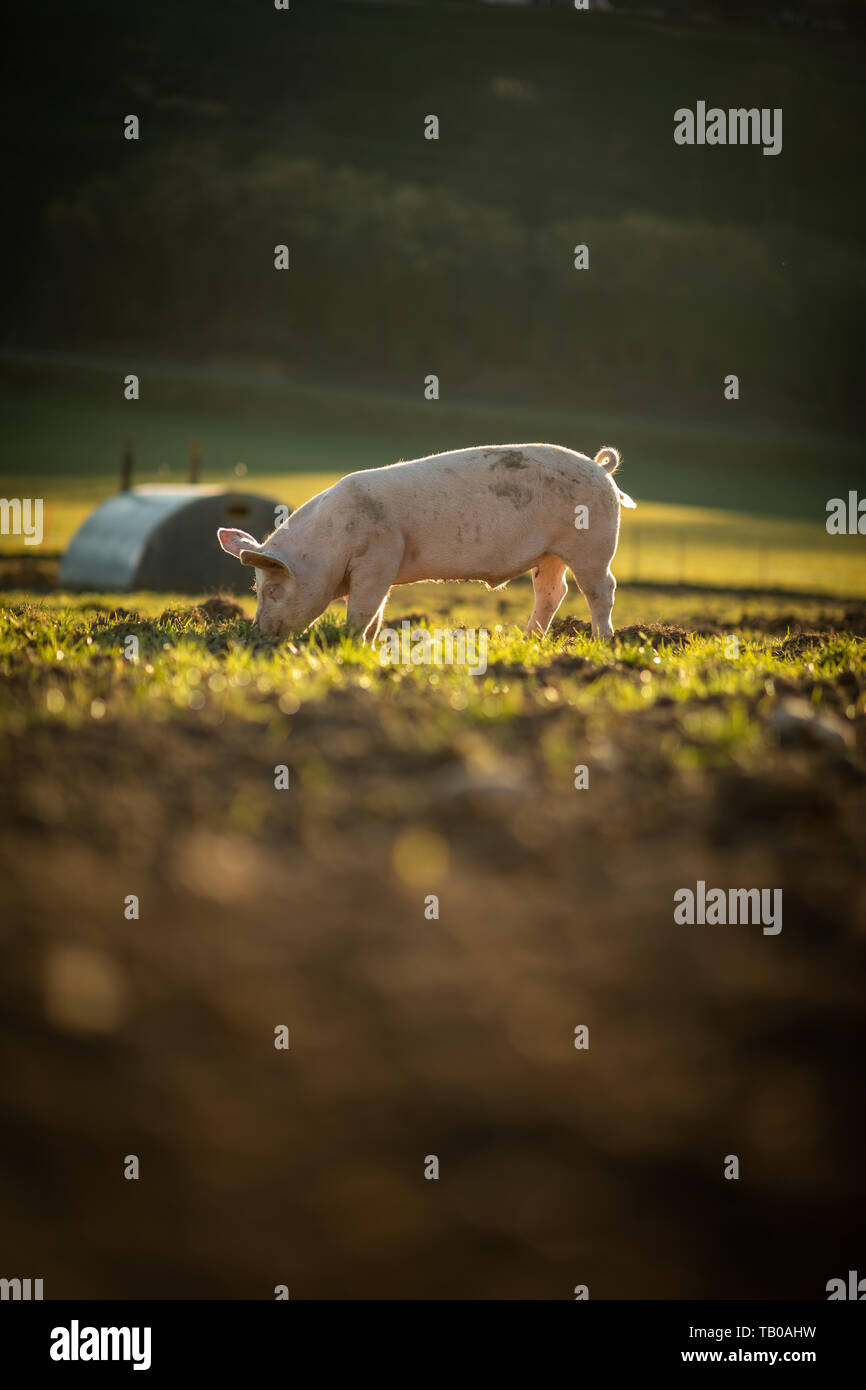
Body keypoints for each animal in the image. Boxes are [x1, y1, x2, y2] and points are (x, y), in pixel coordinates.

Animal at [217, 443, 636, 641]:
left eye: (273, 590)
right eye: (256, 589)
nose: (258, 634)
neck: (329, 543)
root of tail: (602, 468)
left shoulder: (378, 556)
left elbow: (363, 609)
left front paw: (352, 640)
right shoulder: (381, 568)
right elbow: (377, 611)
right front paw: (370, 643)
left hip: (592, 546)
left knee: (602, 588)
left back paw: (604, 640)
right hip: (550, 555)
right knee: (552, 591)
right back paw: (529, 639)